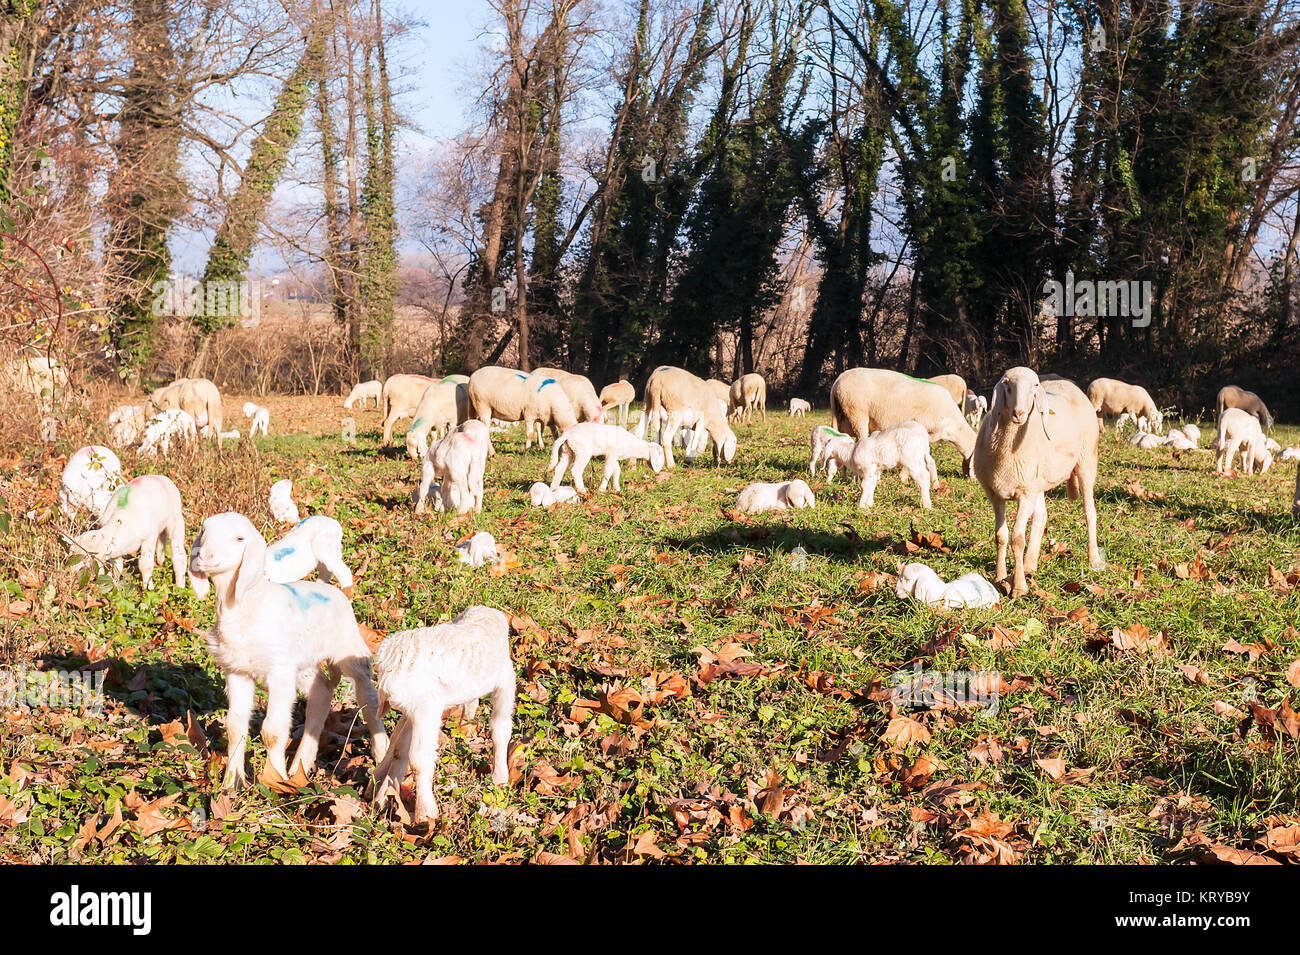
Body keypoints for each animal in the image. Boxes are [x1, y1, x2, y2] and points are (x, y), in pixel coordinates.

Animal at [187, 513, 388, 787]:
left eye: (239, 538)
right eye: (203, 531)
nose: (203, 556)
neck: (249, 604)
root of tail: (332, 590)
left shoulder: (279, 672)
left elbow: (273, 731)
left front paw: (274, 781)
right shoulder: (237, 671)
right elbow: (235, 727)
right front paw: (231, 783)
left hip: (348, 647)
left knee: (367, 696)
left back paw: (381, 752)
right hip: (303, 665)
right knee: (321, 691)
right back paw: (299, 767)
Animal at [371, 606, 514, 823]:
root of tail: (489, 610)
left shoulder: (425, 707)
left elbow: (417, 757)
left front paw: (425, 813)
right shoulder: (419, 708)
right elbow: (400, 748)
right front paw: (382, 794)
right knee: (398, 743)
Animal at [972, 367, 1101, 597]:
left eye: (1034, 386)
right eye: (1007, 385)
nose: (1019, 413)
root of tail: (1068, 383)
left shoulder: (1025, 494)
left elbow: (1017, 538)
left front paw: (1019, 587)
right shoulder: (995, 493)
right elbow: (1001, 536)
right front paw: (1000, 576)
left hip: (1087, 461)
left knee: (1089, 512)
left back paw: (1093, 558)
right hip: (1037, 481)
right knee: (1041, 517)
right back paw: (1030, 564)